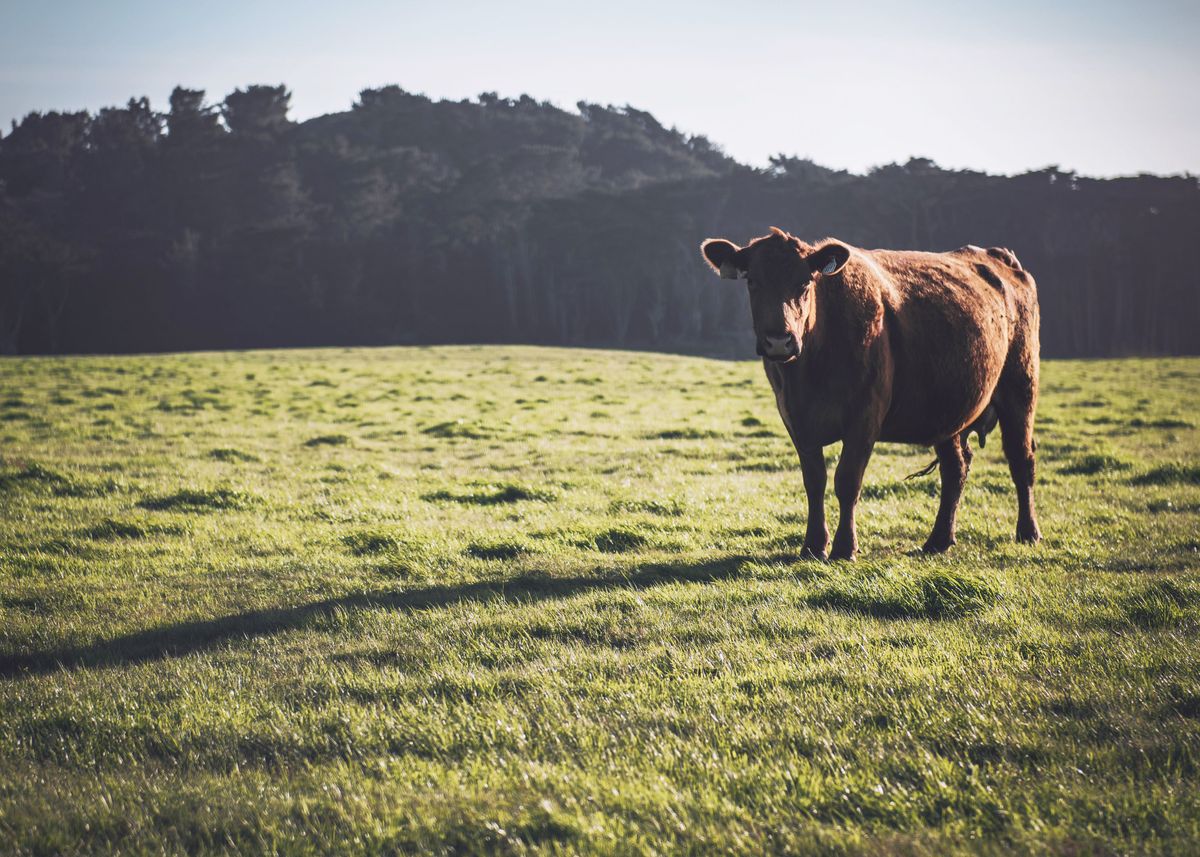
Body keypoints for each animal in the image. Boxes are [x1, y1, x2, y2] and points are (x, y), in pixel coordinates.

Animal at [700, 227, 1042, 561]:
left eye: (805, 282)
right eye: (753, 282)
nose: (779, 341)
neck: (810, 370)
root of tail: (998, 257)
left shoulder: (864, 418)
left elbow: (847, 480)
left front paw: (844, 548)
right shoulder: (796, 421)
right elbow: (814, 481)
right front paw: (813, 545)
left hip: (1020, 387)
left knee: (1020, 458)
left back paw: (1028, 532)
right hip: (947, 413)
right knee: (955, 468)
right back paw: (938, 540)